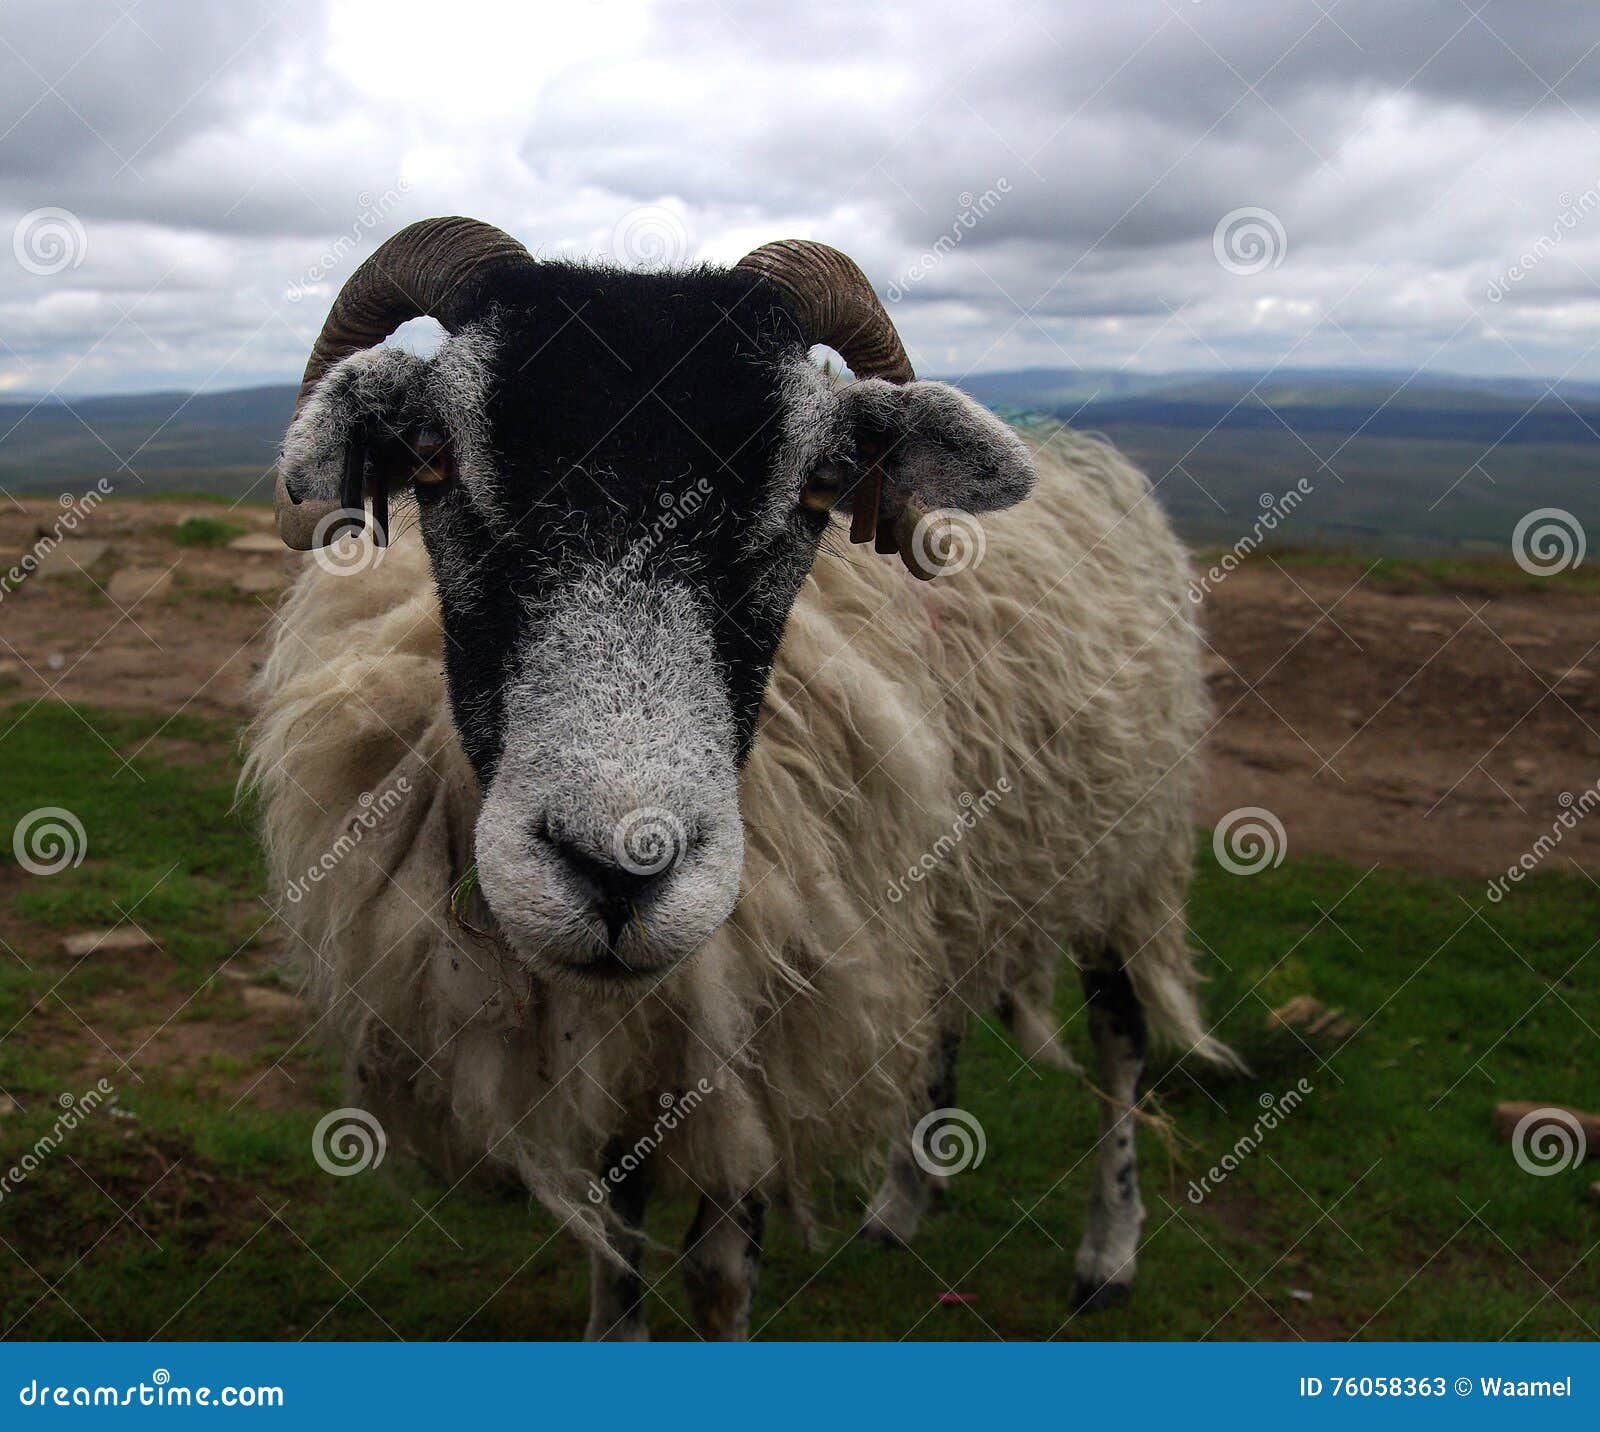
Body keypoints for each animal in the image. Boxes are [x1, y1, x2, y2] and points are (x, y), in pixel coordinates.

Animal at [245, 217, 1229, 1339]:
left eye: (821, 487)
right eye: (433, 463)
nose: (619, 871)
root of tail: (1084, 457)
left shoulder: (760, 1028)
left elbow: (719, 1274)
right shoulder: (641, 1038)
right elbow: (619, 1248)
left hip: (1120, 837)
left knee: (1121, 1034)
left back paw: (1109, 1248)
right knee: (934, 1018)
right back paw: (902, 1203)